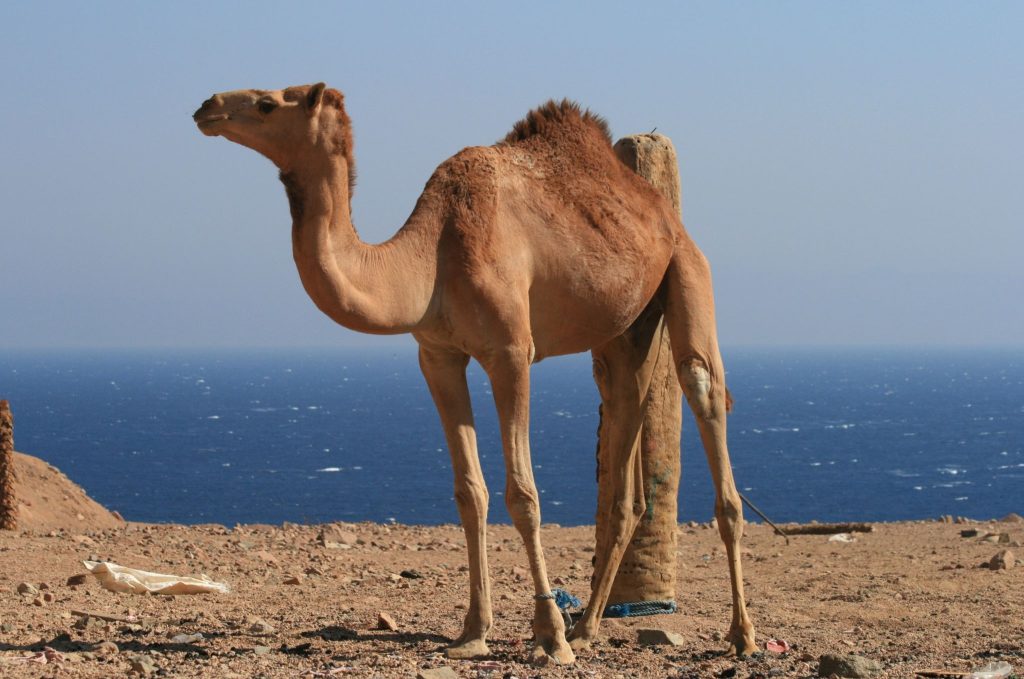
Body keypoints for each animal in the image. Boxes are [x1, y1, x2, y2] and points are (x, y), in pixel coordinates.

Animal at [193, 83, 755, 664]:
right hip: (626, 326)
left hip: (686, 267)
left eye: (267, 103)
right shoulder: (438, 355)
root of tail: (659, 208)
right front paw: (473, 631)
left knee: (702, 388)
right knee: (623, 423)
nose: (207, 106)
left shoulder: (510, 351)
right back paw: (588, 626)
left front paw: (549, 635)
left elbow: (523, 496)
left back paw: (741, 634)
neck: (431, 257)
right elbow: (470, 492)